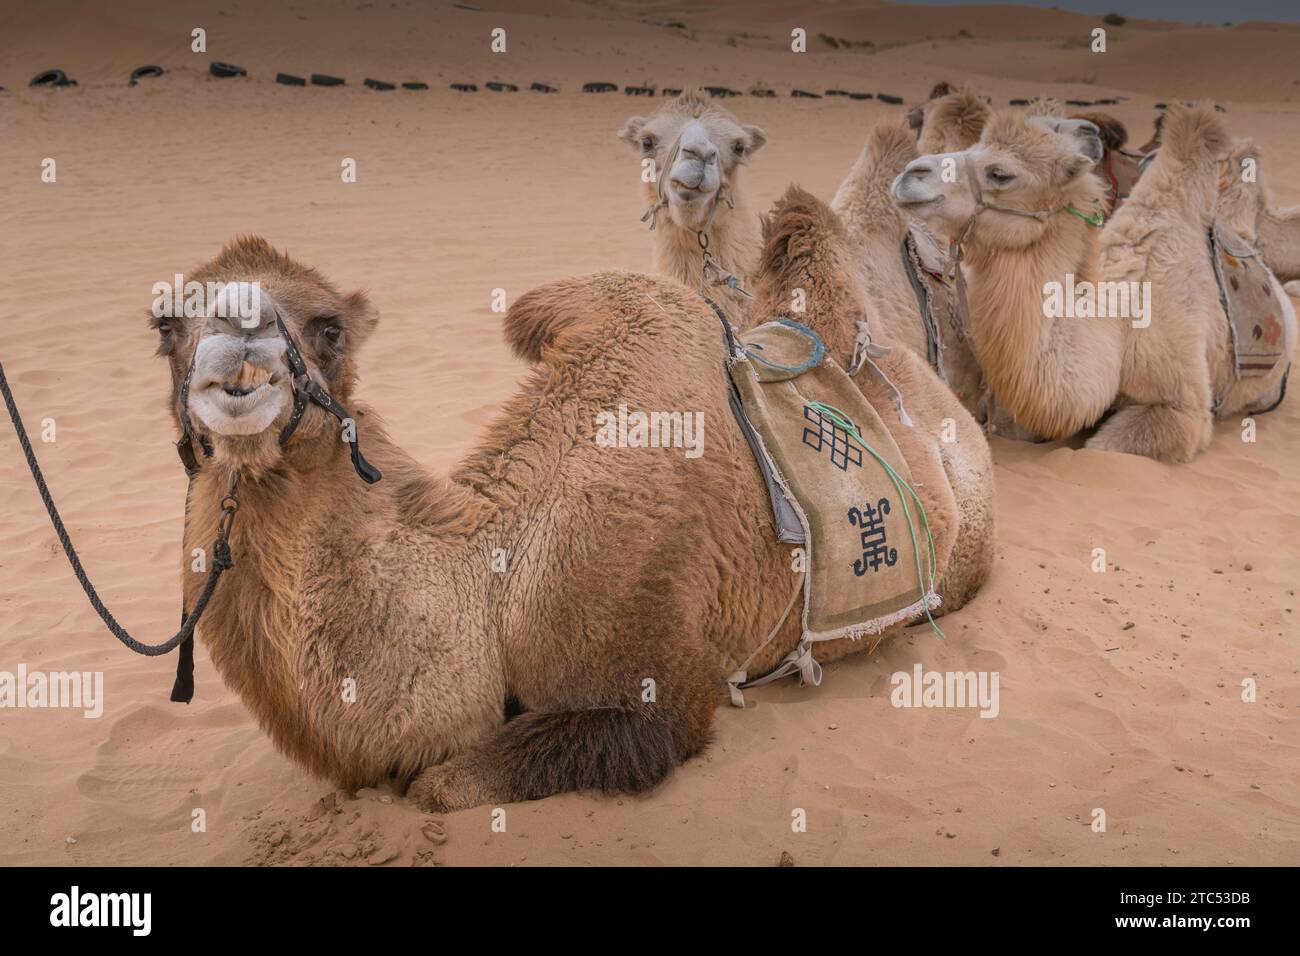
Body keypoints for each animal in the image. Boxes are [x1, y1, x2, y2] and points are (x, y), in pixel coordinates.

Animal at [153, 232, 993, 810]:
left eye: (328, 326)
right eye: (165, 321)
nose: (237, 353)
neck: (493, 577)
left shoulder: (658, 685)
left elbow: (438, 786)